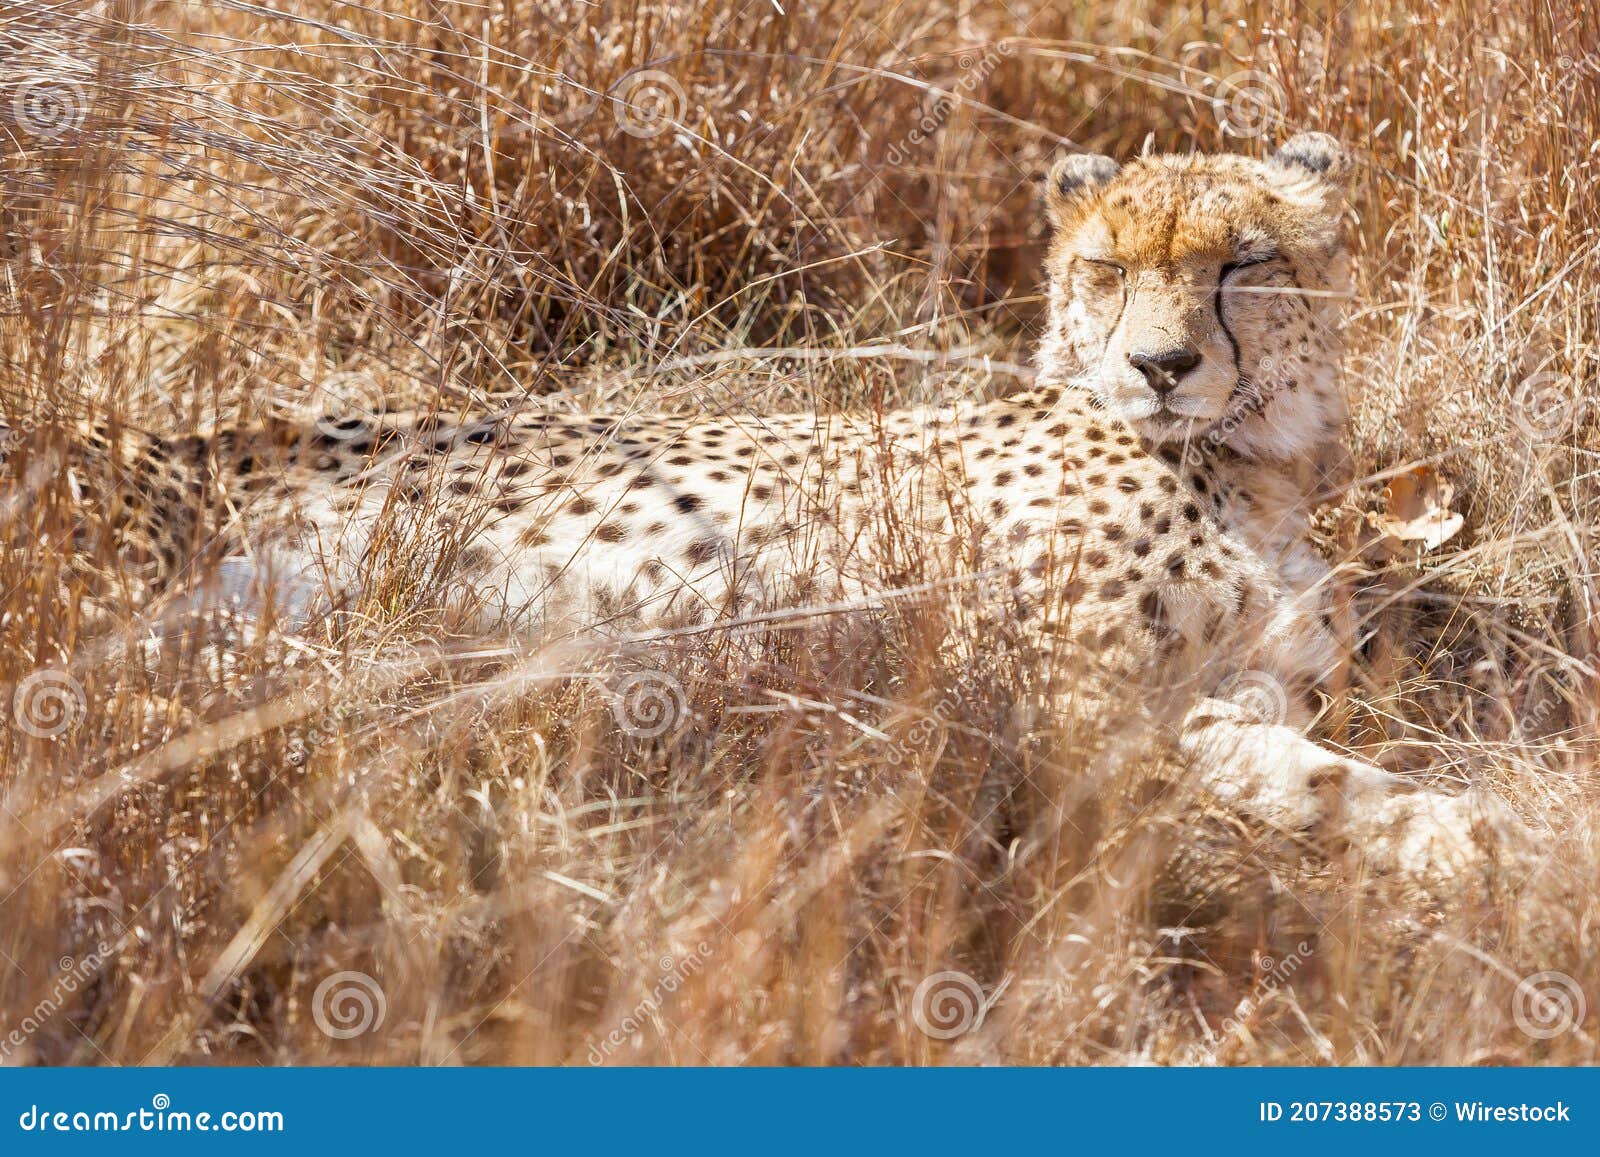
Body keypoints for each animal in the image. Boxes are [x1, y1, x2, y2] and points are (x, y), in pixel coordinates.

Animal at [2, 132, 1520, 882]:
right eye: (1106, 267)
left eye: (1243, 261)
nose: (1162, 365)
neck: (1253, 463)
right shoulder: (1071, 703)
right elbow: (1299, 780)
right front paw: (1477, 835)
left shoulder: (1238, 681)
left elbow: (1296, 754)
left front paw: (1470, 828)